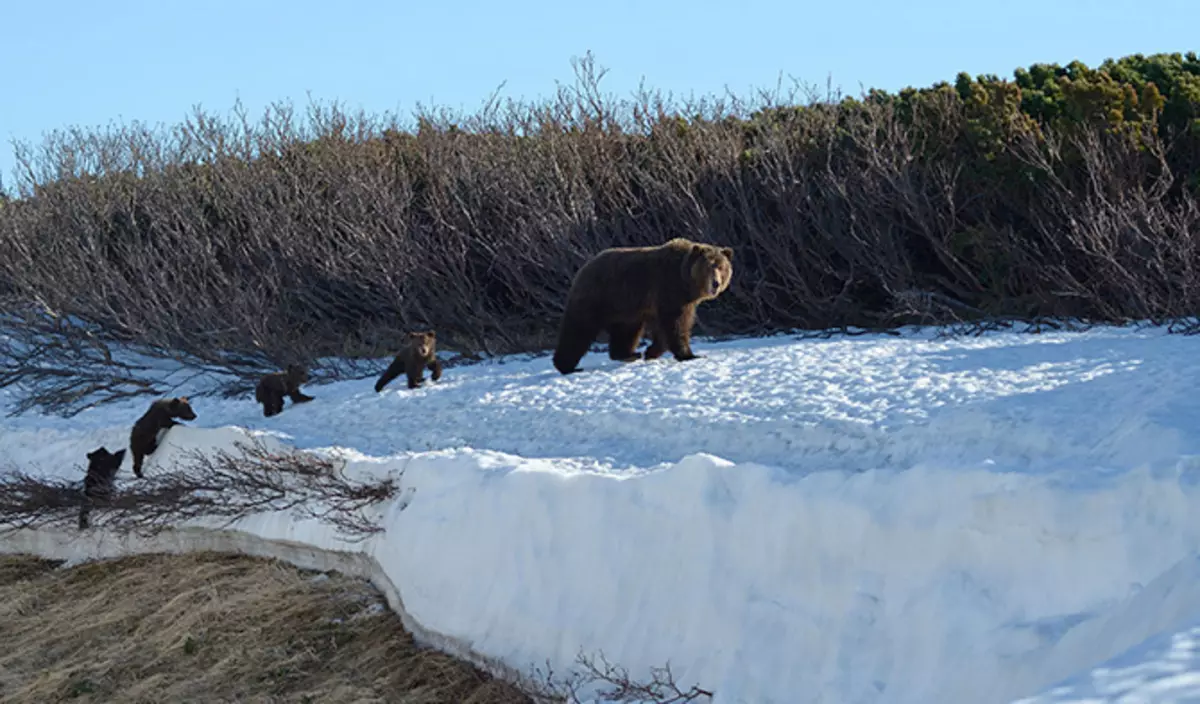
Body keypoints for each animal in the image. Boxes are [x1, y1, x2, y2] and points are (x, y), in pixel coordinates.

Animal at [552, 238, 729, 374]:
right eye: (709, 266)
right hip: (599, 297)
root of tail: (583, 268)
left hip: (624, 308)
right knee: (578, 329)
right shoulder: (669, 290)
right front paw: (690, 355)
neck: (686, 282)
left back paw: (629, 354)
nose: (716, 283)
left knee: (626, 332)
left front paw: (650, 352)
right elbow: (676, 323)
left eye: (721, 267)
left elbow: (664, 329)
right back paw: (567, 367)